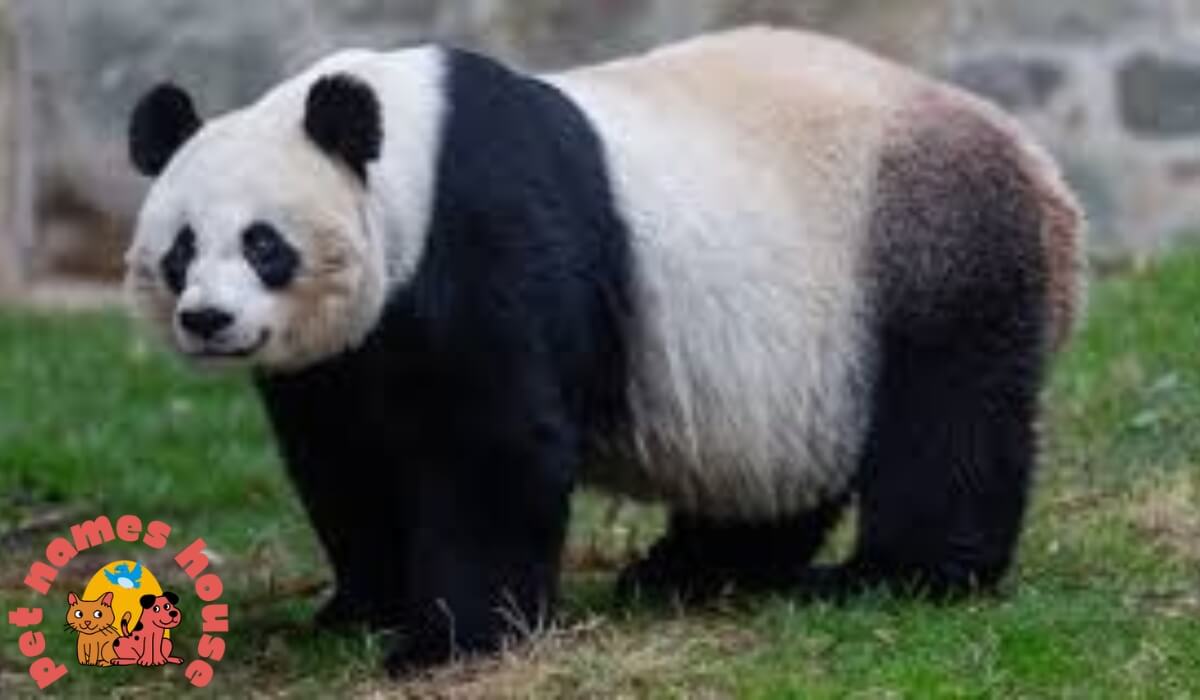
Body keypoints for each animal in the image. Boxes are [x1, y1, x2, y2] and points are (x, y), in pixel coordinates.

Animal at [125, 27, 1086, 672]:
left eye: (264, 245)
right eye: (179, 250)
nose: (208, 320)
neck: (403, 157)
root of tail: (1046, 177)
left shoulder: (484, 231)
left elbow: (493, 442)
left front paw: (446, 639)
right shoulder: (344, 357)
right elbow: (344, 458)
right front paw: (361, 607)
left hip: (931, 247)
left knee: (948, 419)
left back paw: (892, 577)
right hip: (805, 346)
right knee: (782, 467)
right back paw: (688, 573)